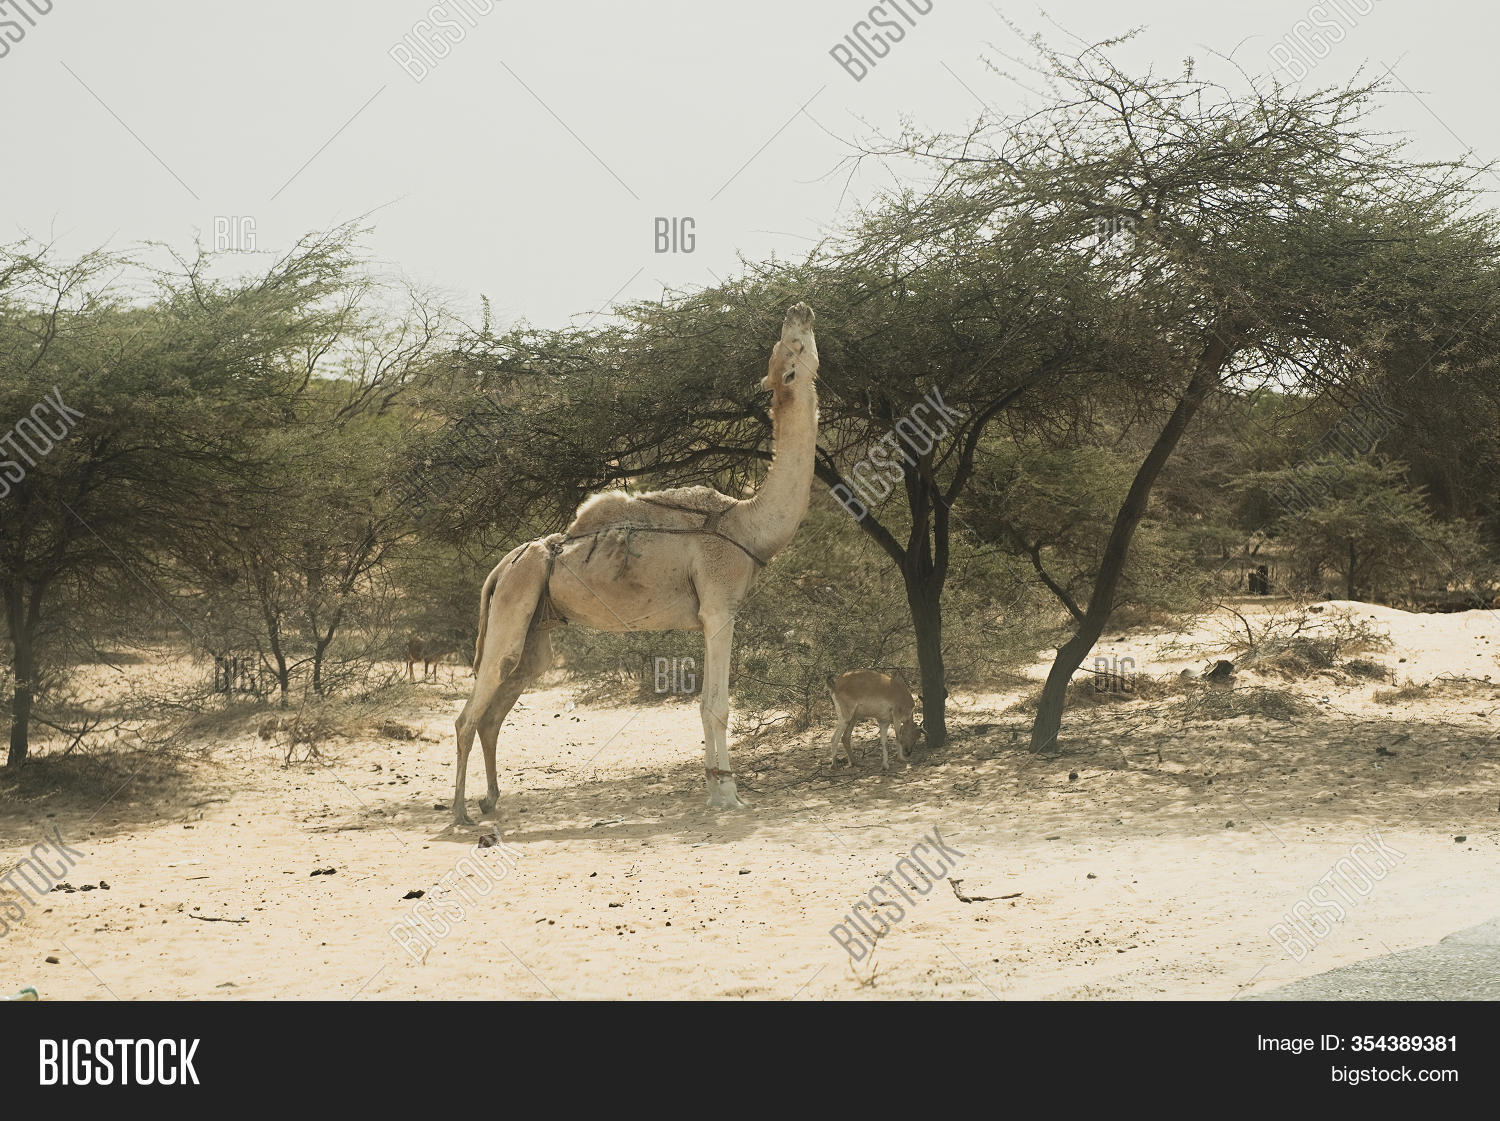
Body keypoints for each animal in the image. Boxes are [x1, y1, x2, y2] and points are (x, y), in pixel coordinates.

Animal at [450, 303, 820, 826]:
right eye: (793, 345)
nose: (799, 309)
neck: (748, 525)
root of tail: (503, 566)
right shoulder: (720, 609)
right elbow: (717, 706)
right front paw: (729, 796)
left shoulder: (711, 613)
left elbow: (705, 705)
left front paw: (714, 791)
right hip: (513, 603)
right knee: (470, 714)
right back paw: (460, 811)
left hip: (533, 628)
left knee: (495, 711)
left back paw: (490, 800)